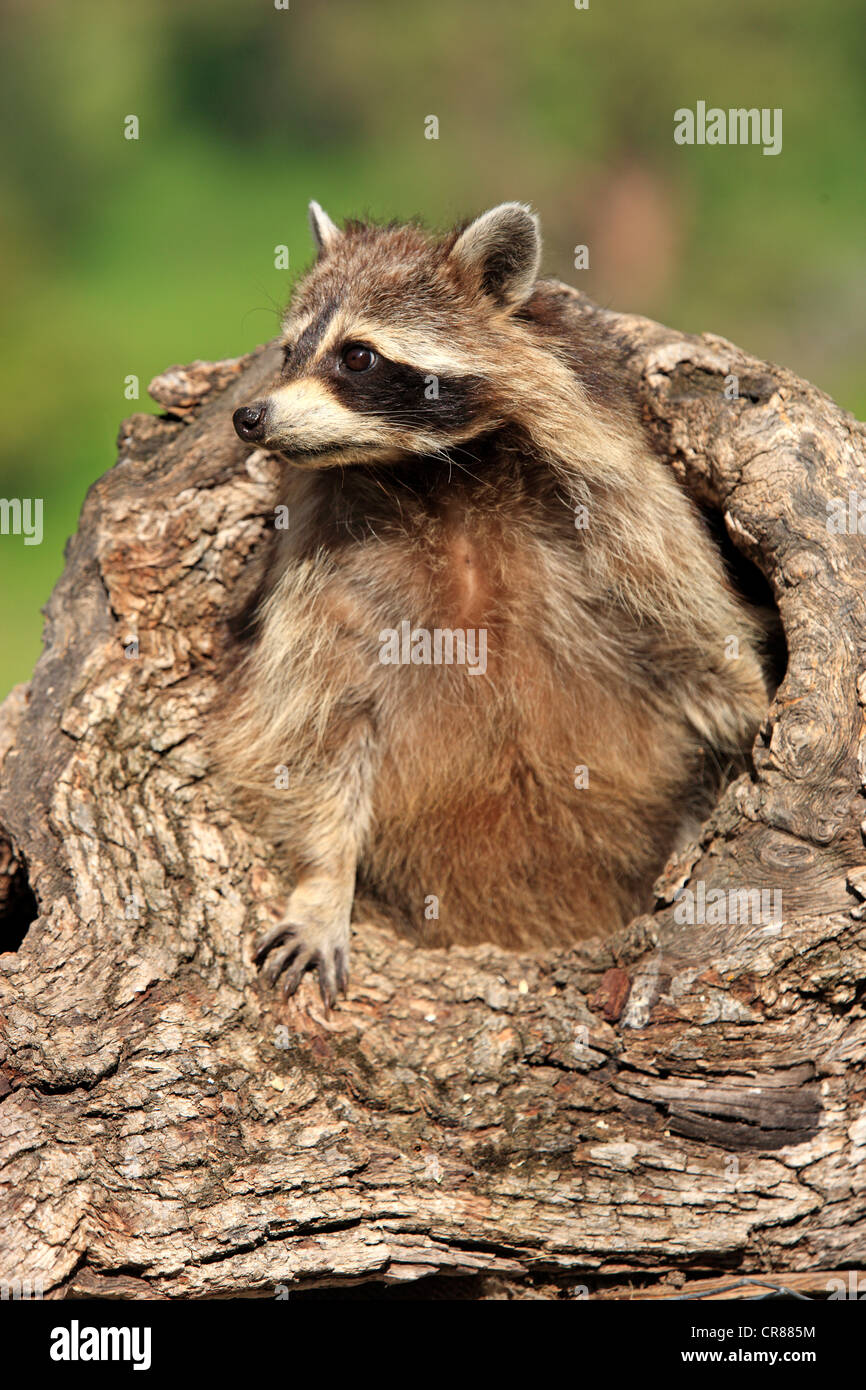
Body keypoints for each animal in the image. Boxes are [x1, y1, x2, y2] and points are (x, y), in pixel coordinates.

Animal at [219, 200, 768, 1006]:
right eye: (289, 351)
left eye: (358, 357)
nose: (250, 418)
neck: (439, 479)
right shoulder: (328, 563)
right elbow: (313, 725)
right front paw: (323, 885)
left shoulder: (619, 522)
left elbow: (699, 649)